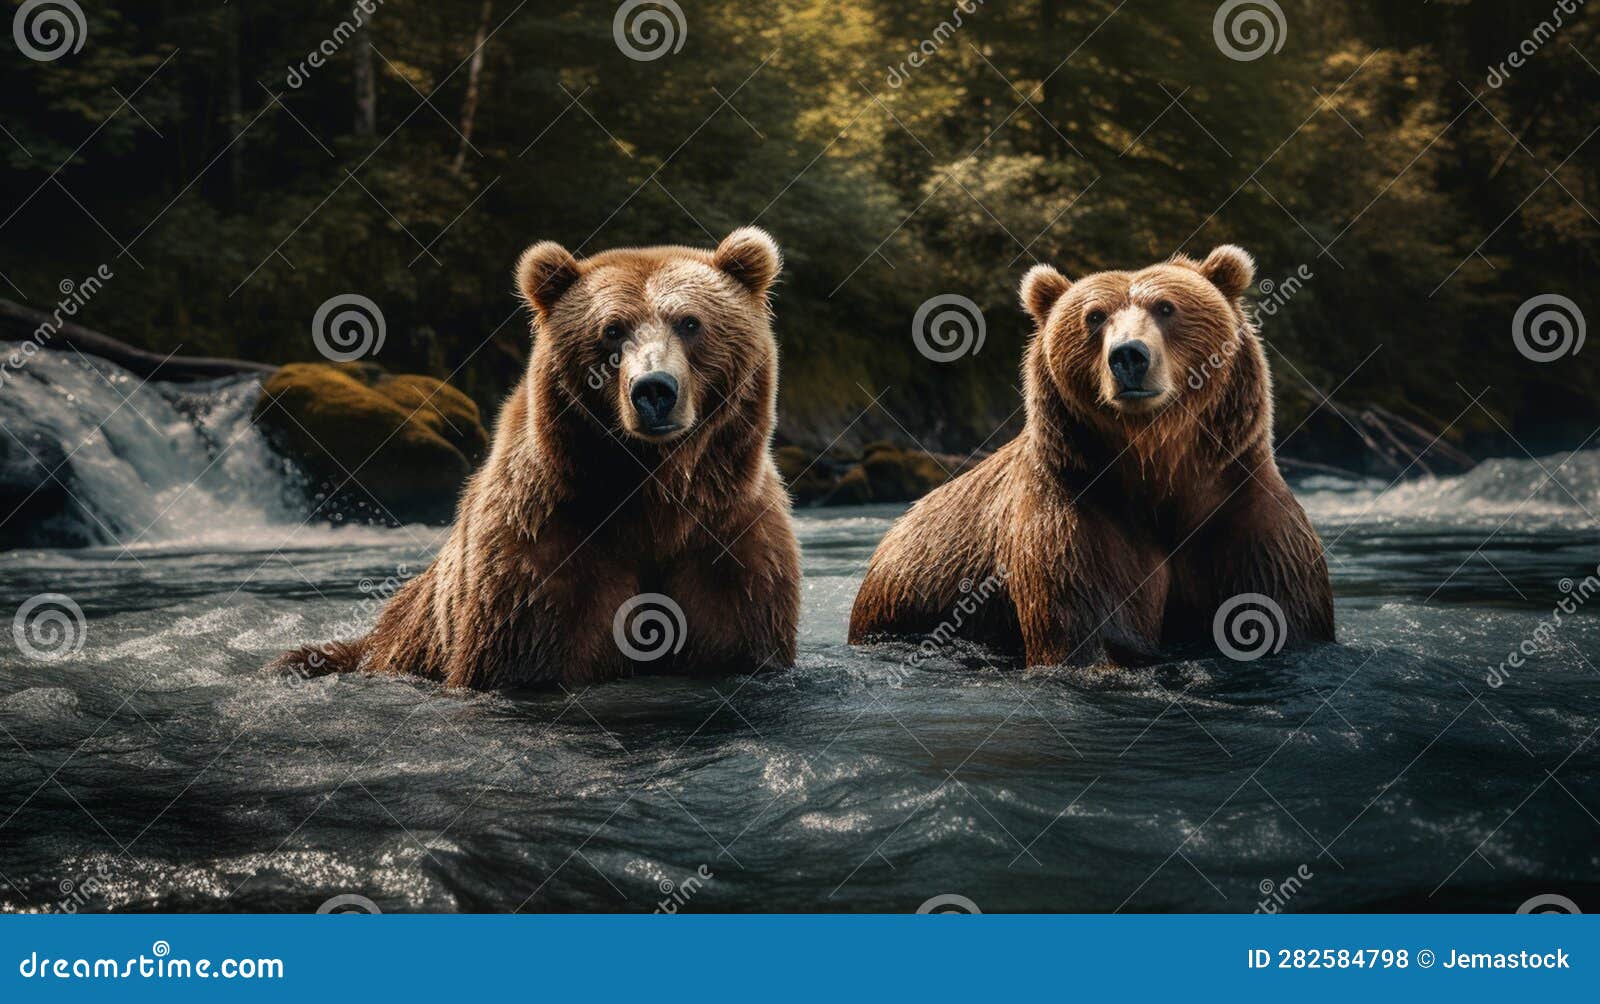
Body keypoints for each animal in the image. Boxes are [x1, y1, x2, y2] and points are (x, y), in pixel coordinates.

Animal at [272, 228, 802, 688]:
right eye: (612, 330)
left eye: (690, 322)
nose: (654, 390)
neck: (652, 492)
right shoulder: (541, 552)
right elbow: (531, 651)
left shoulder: (732, 545)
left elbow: (734, 637)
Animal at [848, 245, 1333, 667]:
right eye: (1095, 316)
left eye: (1166, 307)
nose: (1129, 356)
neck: (1158, 468)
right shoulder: (1078, 515)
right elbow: (1092, 631)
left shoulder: (1243, 511)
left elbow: (1277, 612)